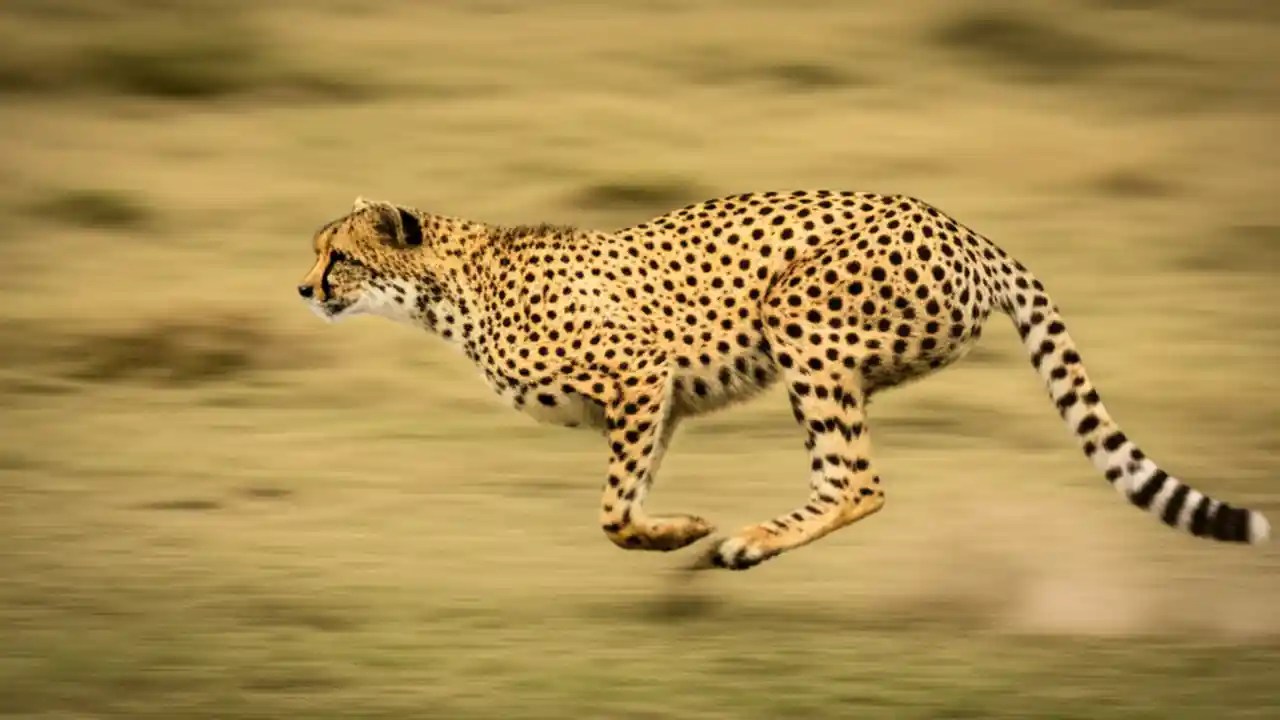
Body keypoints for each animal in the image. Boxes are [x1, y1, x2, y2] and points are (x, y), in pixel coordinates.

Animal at [296, 191, 1270, 571]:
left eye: (338, 258)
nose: (304, 290)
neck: (457, 284)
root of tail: (957, 224)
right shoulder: (660, 401)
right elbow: (627, 495)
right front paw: (677, 528)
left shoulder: (639, 372)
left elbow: (611, 511)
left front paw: (684, 530)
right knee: (845, 475)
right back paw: (744, 542)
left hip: (802, 318)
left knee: (858, 480)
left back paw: (749, 542)